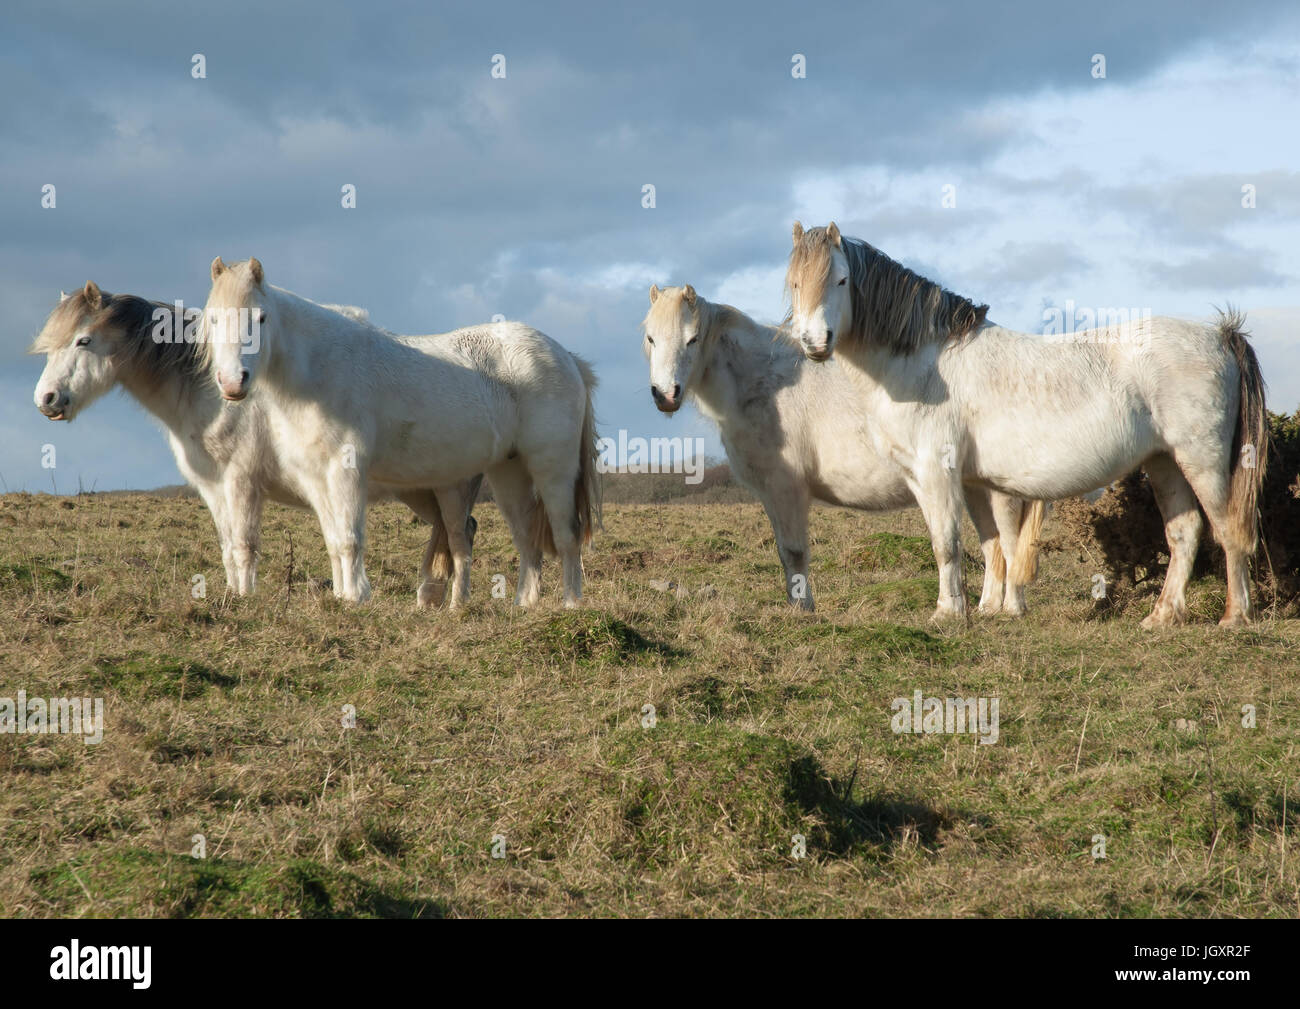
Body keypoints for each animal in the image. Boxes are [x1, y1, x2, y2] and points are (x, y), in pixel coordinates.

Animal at [30, 282, 481, 607]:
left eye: (83, 341)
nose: (46, 400)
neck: (211, 392)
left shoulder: (242, 481)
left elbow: (246, 544)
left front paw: (247, 598)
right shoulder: (214, 488)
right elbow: (229, 546)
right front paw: (233, 594)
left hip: (449, 489)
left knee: (460, 535)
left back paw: (456, 605)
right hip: (419, 492)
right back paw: (428, 599)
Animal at [201, 257, 601, 607]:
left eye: (261, 317)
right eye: (214, 319)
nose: (233, 382)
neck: (318, 369)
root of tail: (565, 356)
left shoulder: (347, 471)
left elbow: (350, 539)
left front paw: (356, 598)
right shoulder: (317, 478)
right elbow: (334, 540)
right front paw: (340, 598)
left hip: (553, 469)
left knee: (565, 535)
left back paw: (569, 604)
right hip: (508, 471)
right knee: (527, 540)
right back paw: (524, 605)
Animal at [641, 283, 1043, 614]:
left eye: (693, 339)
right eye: (650, 338)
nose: (666, 395)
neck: (761, 384)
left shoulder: (786, 488)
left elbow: (795, 552)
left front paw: (802, 610)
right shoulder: (771, 494)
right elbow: (785, 553)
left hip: (1002, 494)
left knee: (1010, 545)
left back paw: (1011, 609)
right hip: (974, 489)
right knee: (993, 547)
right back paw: (987, 609)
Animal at [785, 222, 1268, 627]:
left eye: (841, 280)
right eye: (793, 284)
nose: (815, 343)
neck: (926, 365)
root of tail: (1220, 335)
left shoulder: (937, 473)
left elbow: (948, 542)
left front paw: (948, 614)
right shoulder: (960, 481)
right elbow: (987, 544)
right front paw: (983, 609)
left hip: (1202, 460)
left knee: (1229, 530)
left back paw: (1235, 618)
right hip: (1163, 462)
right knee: (1184, 533)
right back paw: (1161, 618)